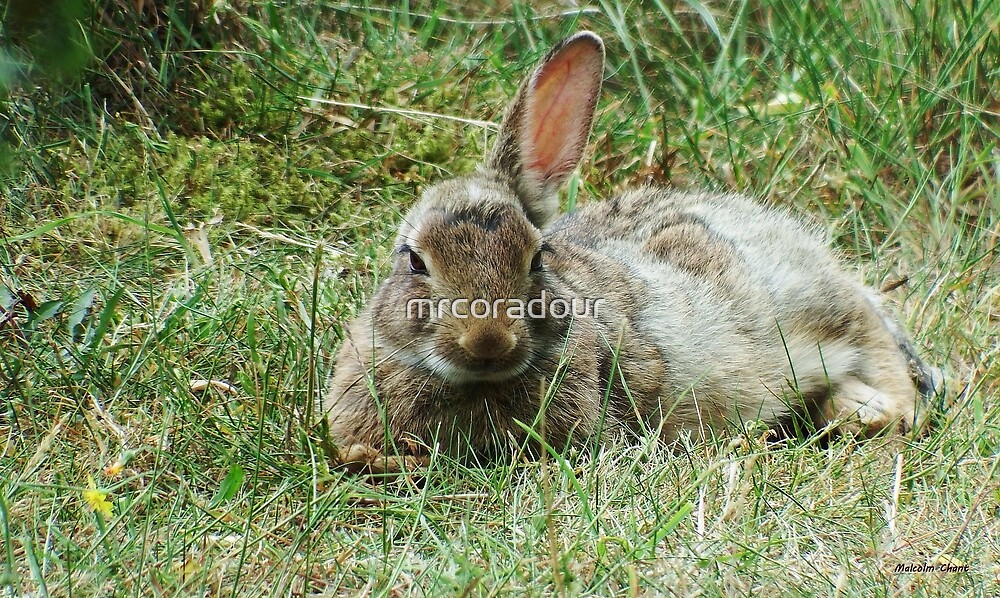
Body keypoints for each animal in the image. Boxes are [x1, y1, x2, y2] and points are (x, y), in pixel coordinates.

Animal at [324, 31, 939, 463]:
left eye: (536, 258)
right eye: (414, 260)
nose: (488, 340)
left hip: (806, 301)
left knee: (874, 342)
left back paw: (872, 412)